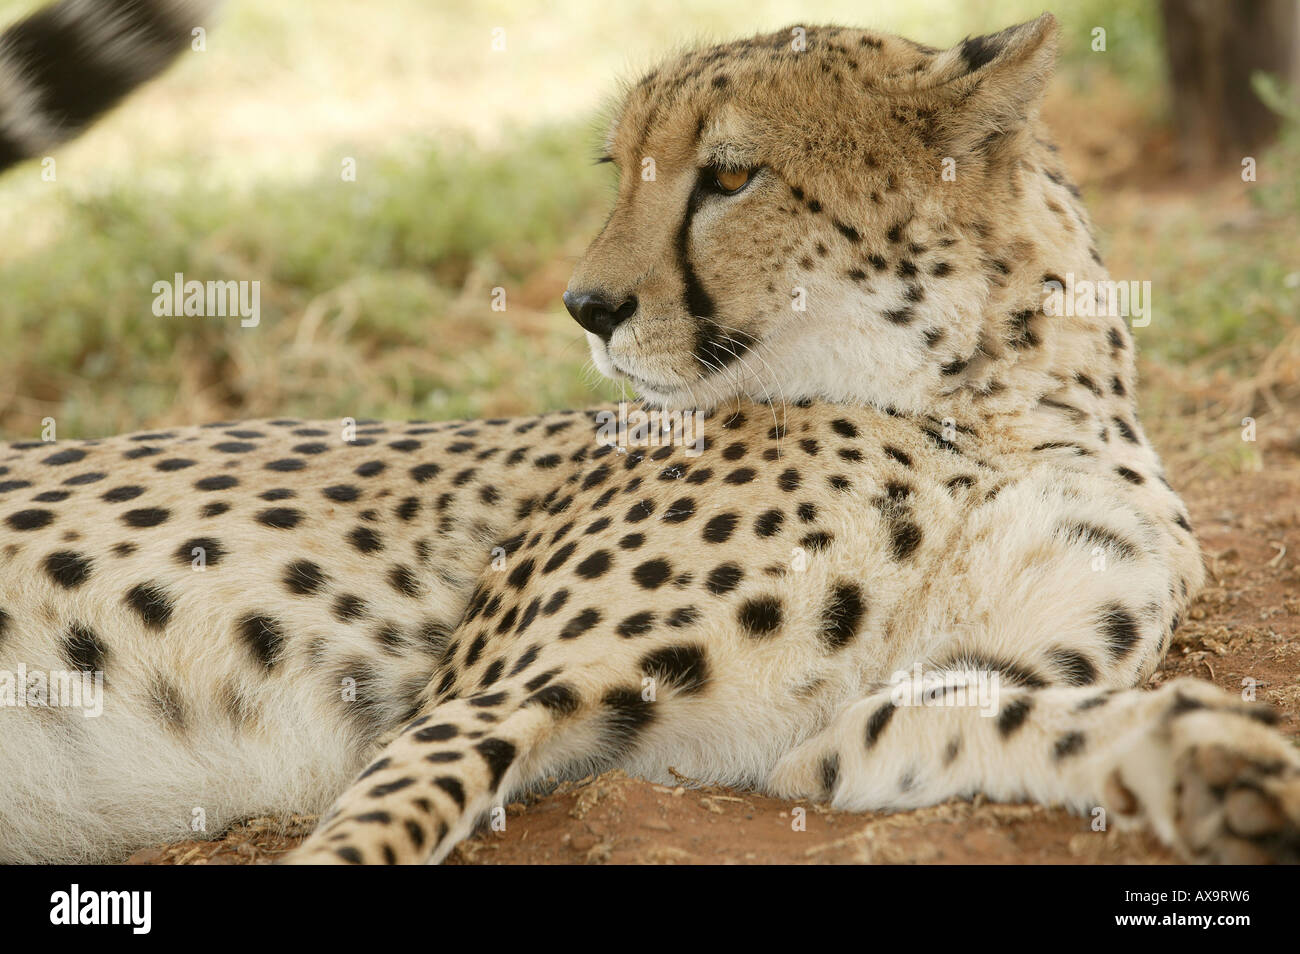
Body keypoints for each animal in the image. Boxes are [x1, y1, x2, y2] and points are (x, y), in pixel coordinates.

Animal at [2, 3, 1298, 865]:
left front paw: (1207, 759)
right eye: (618, 167)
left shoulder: (847, 728)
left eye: (727, 175)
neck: (987, 402)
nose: (587, 306)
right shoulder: (480, 696)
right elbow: (374, 833)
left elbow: (1028, 719)